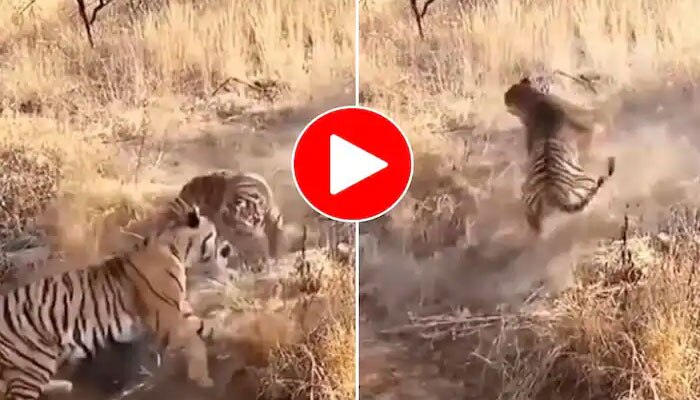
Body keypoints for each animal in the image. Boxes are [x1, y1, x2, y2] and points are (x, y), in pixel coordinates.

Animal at [0, 197, 231, 399]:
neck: (176, 250)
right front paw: (203, 374)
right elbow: (195, 338)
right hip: (33, 365)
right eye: (214, 233)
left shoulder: (179, 309)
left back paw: (62, 385)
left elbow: (202, 327)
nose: (227, 249)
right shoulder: (169, 321)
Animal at [504, 77, 617, 234]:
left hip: (529, 199)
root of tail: (553, 193)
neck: (533, 98)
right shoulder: (585, 123)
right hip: (586, 184)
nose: (504, 97)